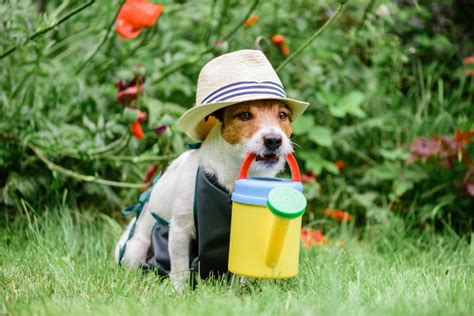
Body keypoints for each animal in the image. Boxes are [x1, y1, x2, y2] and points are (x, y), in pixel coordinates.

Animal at [113, 50, 310, 292]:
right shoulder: (180, 229)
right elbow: (179, 268)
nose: (274, 140)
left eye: (282, 115)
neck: (233, 173)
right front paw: (180, 292)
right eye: (244, 115)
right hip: (135, 248)